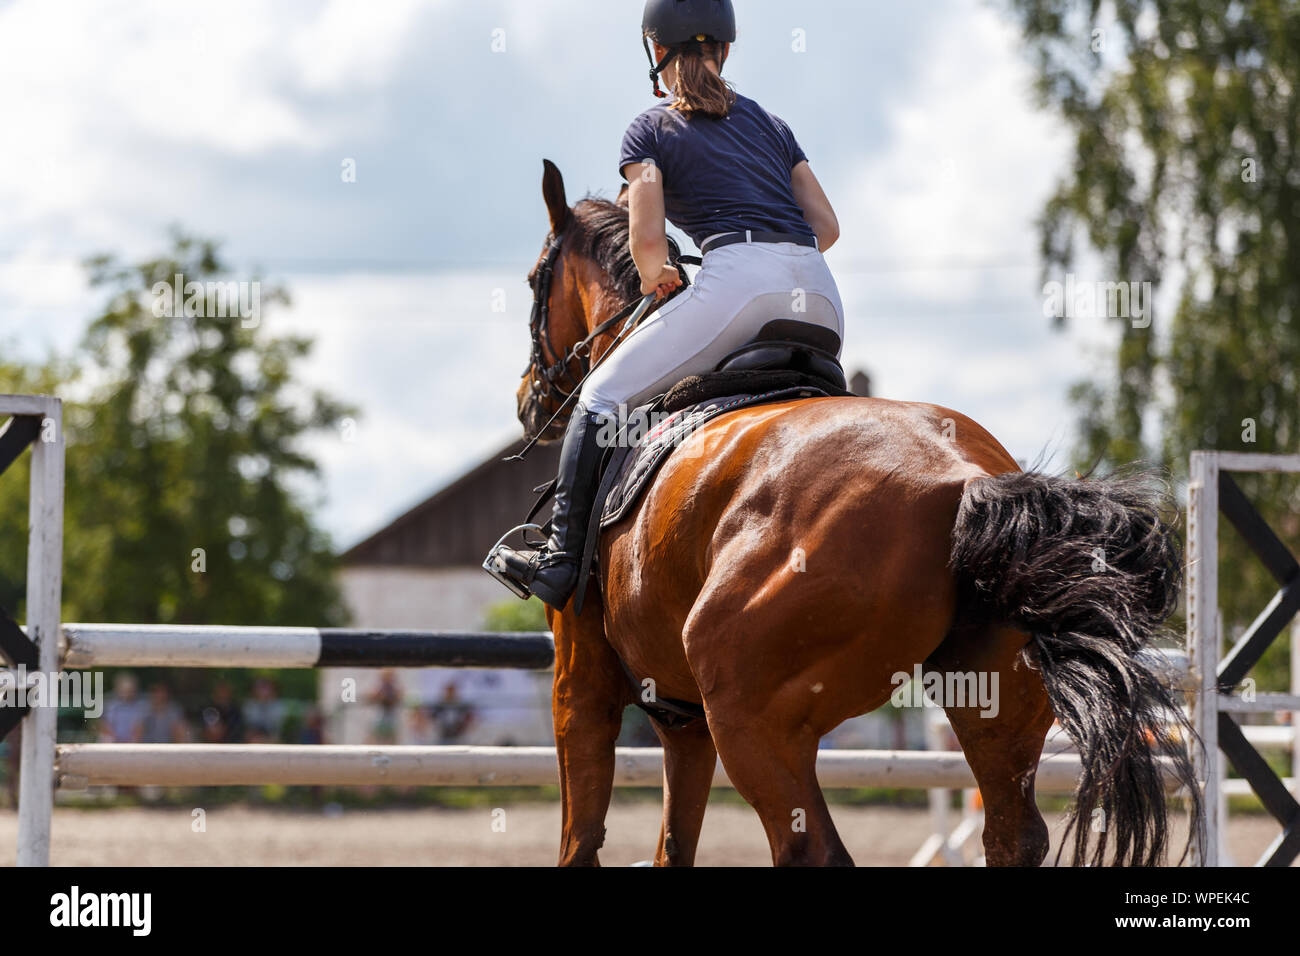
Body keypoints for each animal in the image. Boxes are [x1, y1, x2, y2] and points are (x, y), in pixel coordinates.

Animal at [516, 159, 1199, 867]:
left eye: (536, 279)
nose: (527, 403)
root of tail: (967, 480)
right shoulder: (683, 722)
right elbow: (673, 845)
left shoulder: (581, 687)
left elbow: (579, 839)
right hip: (990, 699)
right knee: (1011, 835)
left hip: (751, 715)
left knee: (812, 848)